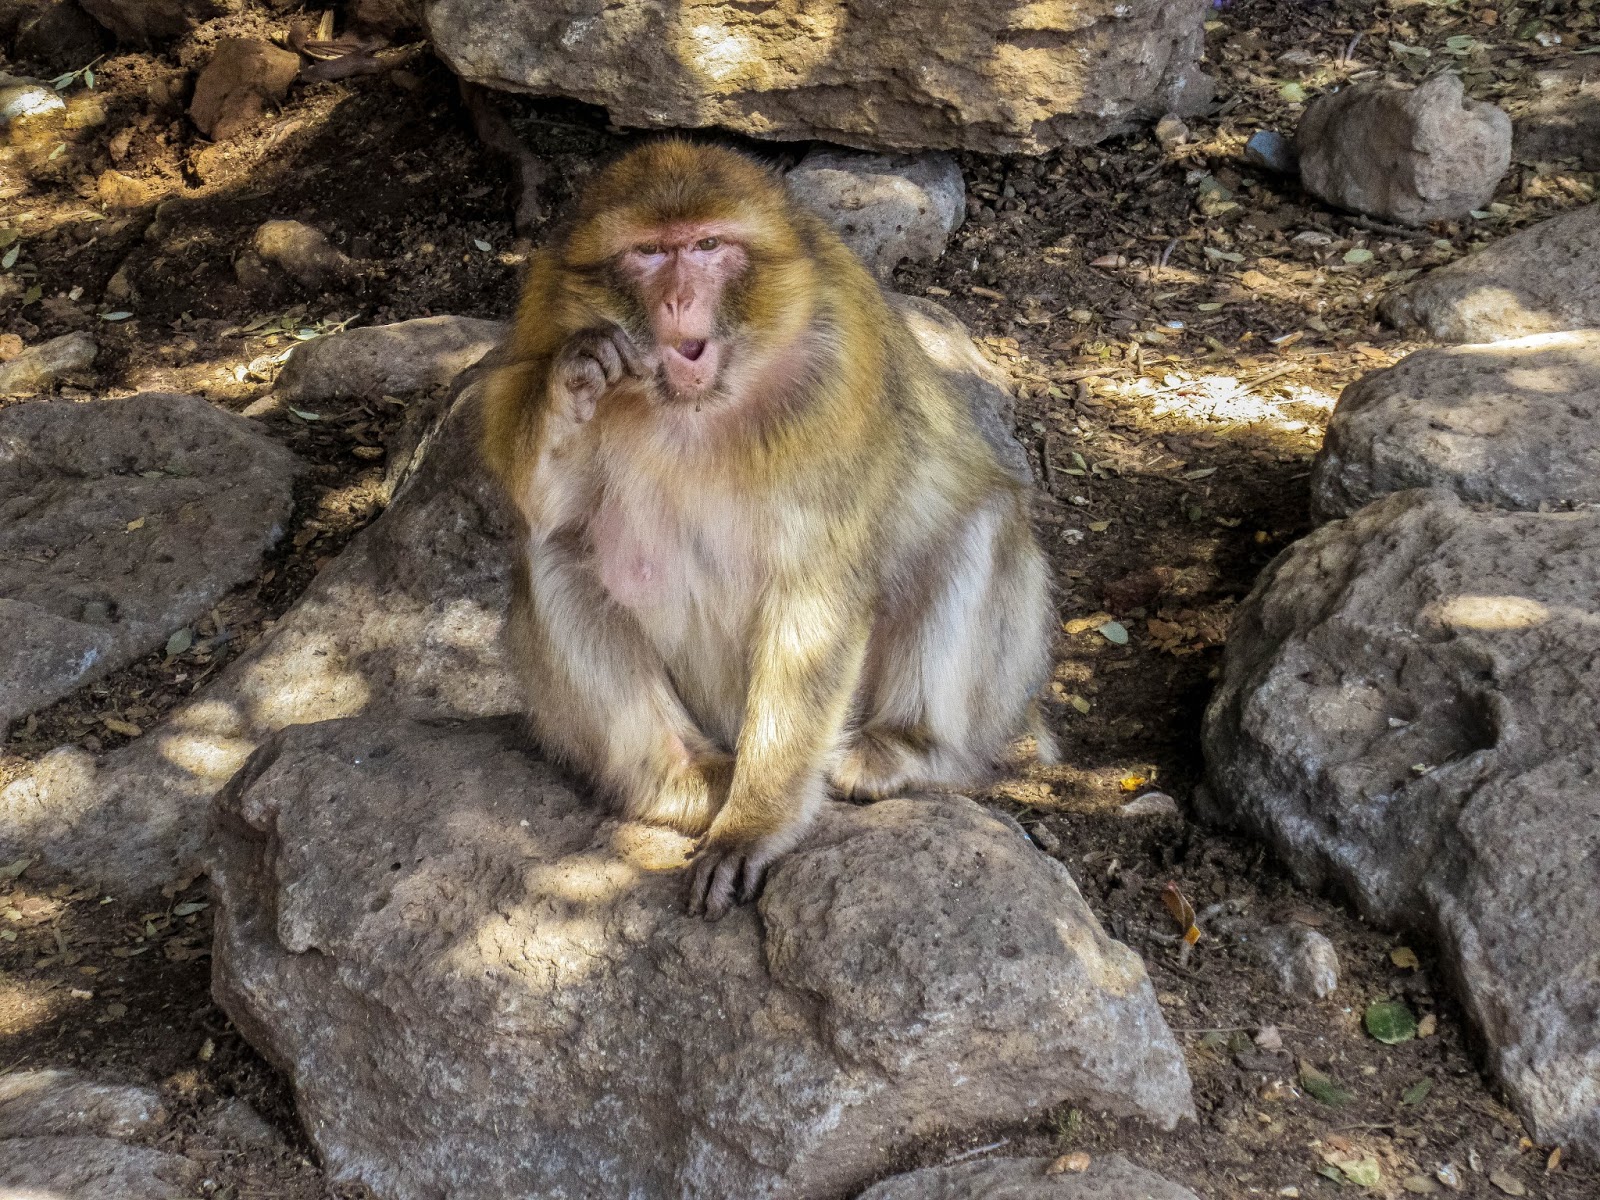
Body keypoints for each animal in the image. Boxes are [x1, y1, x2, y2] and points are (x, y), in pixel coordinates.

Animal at [480, 140, 1055, 919]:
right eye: (649, 253)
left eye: (708, 246)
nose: (677, 299)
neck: (702, 400)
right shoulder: (545, 311)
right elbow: (548, 509)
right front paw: (575, 381)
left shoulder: (838, 371)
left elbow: (814, 599)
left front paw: (755, 825)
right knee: (553, 558)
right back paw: (684, 782)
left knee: (979, 526)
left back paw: (906, 747)